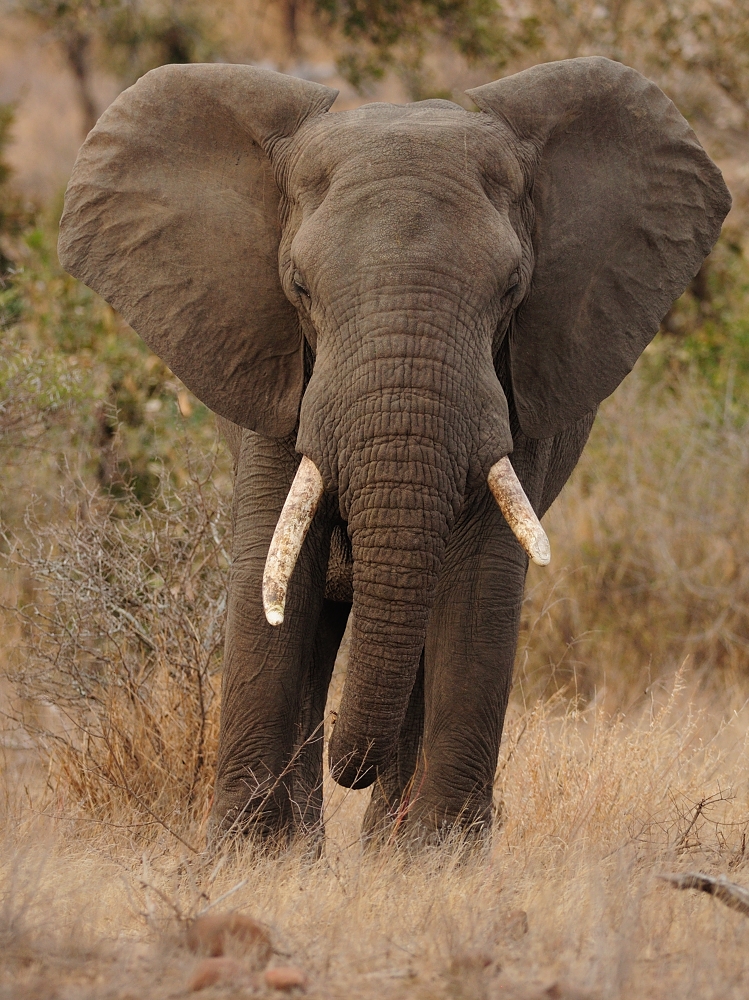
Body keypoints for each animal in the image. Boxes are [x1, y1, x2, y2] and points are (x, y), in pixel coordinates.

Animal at [58, 55, 730, 846]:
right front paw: (244, 856)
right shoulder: (275, 366)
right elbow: (273, 573)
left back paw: (386, 843)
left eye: (512, 288)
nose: (351, 767)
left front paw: (438, 858)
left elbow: (478, 586)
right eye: (298, 286)